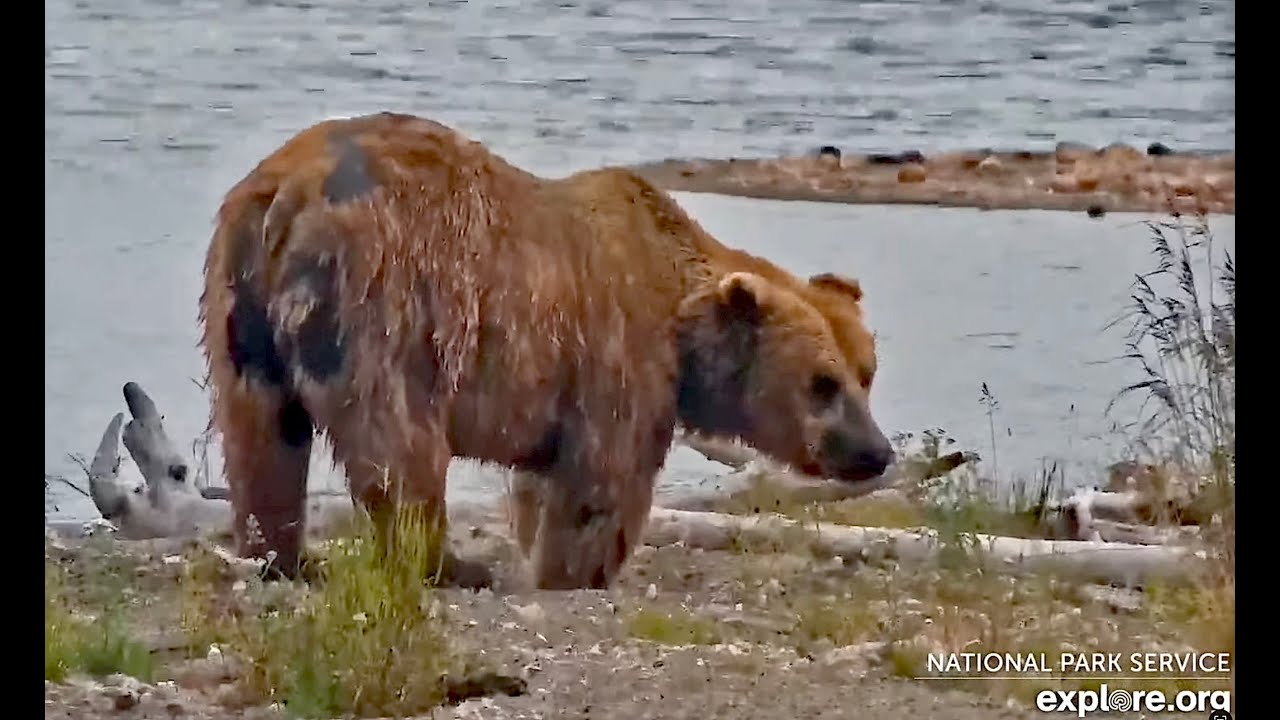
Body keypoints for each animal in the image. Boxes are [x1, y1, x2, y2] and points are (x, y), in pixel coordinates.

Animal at [197, 111, 894, 590]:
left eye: (867, 372)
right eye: (823, 382)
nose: (875, 452)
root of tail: (285, 195)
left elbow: (540, 482)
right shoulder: (621, 354)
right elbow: (601, 480)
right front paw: (578, 571)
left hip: (240, 299)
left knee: (261, 434)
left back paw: (281, 553)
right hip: (381, 297)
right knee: (397, 438)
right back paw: (447, 562)